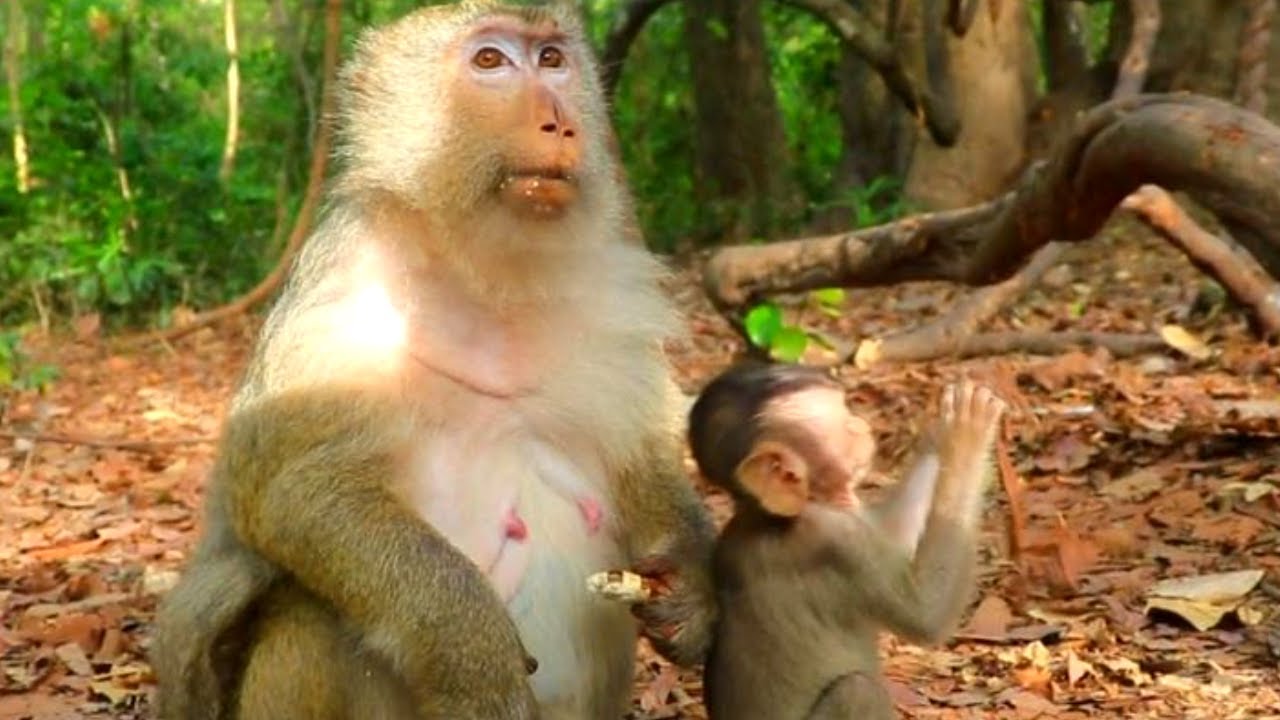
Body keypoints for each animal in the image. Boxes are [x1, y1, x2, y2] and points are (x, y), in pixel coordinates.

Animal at [150, 3, 718, 719]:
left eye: (552, 59)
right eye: (490, 61)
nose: (561, 119)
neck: (487, 280)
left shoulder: (615, 294)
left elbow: (643, 451)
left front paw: (695, 579)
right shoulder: (336, 303)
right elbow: (294, 493)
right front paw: (470, 650)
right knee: (304, 605)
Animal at [686, 363, 1006, 720]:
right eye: (842, 423)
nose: (861, 425)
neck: (768, 515)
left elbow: (892, 533)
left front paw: (937, 431)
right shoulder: (835, 540)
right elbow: (926, 615)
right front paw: (964, 437)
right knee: (857, 691)